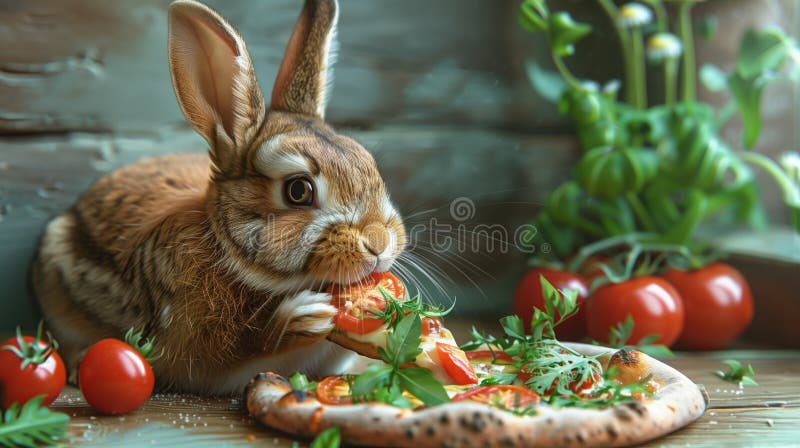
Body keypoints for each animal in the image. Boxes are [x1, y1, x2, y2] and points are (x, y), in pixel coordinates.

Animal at [31, 0, 406, 396]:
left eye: (367, 162)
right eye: (298, 190)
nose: (379, 242)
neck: (229, 253)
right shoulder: (192, 337)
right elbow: (242, 343)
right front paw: (304, 317)